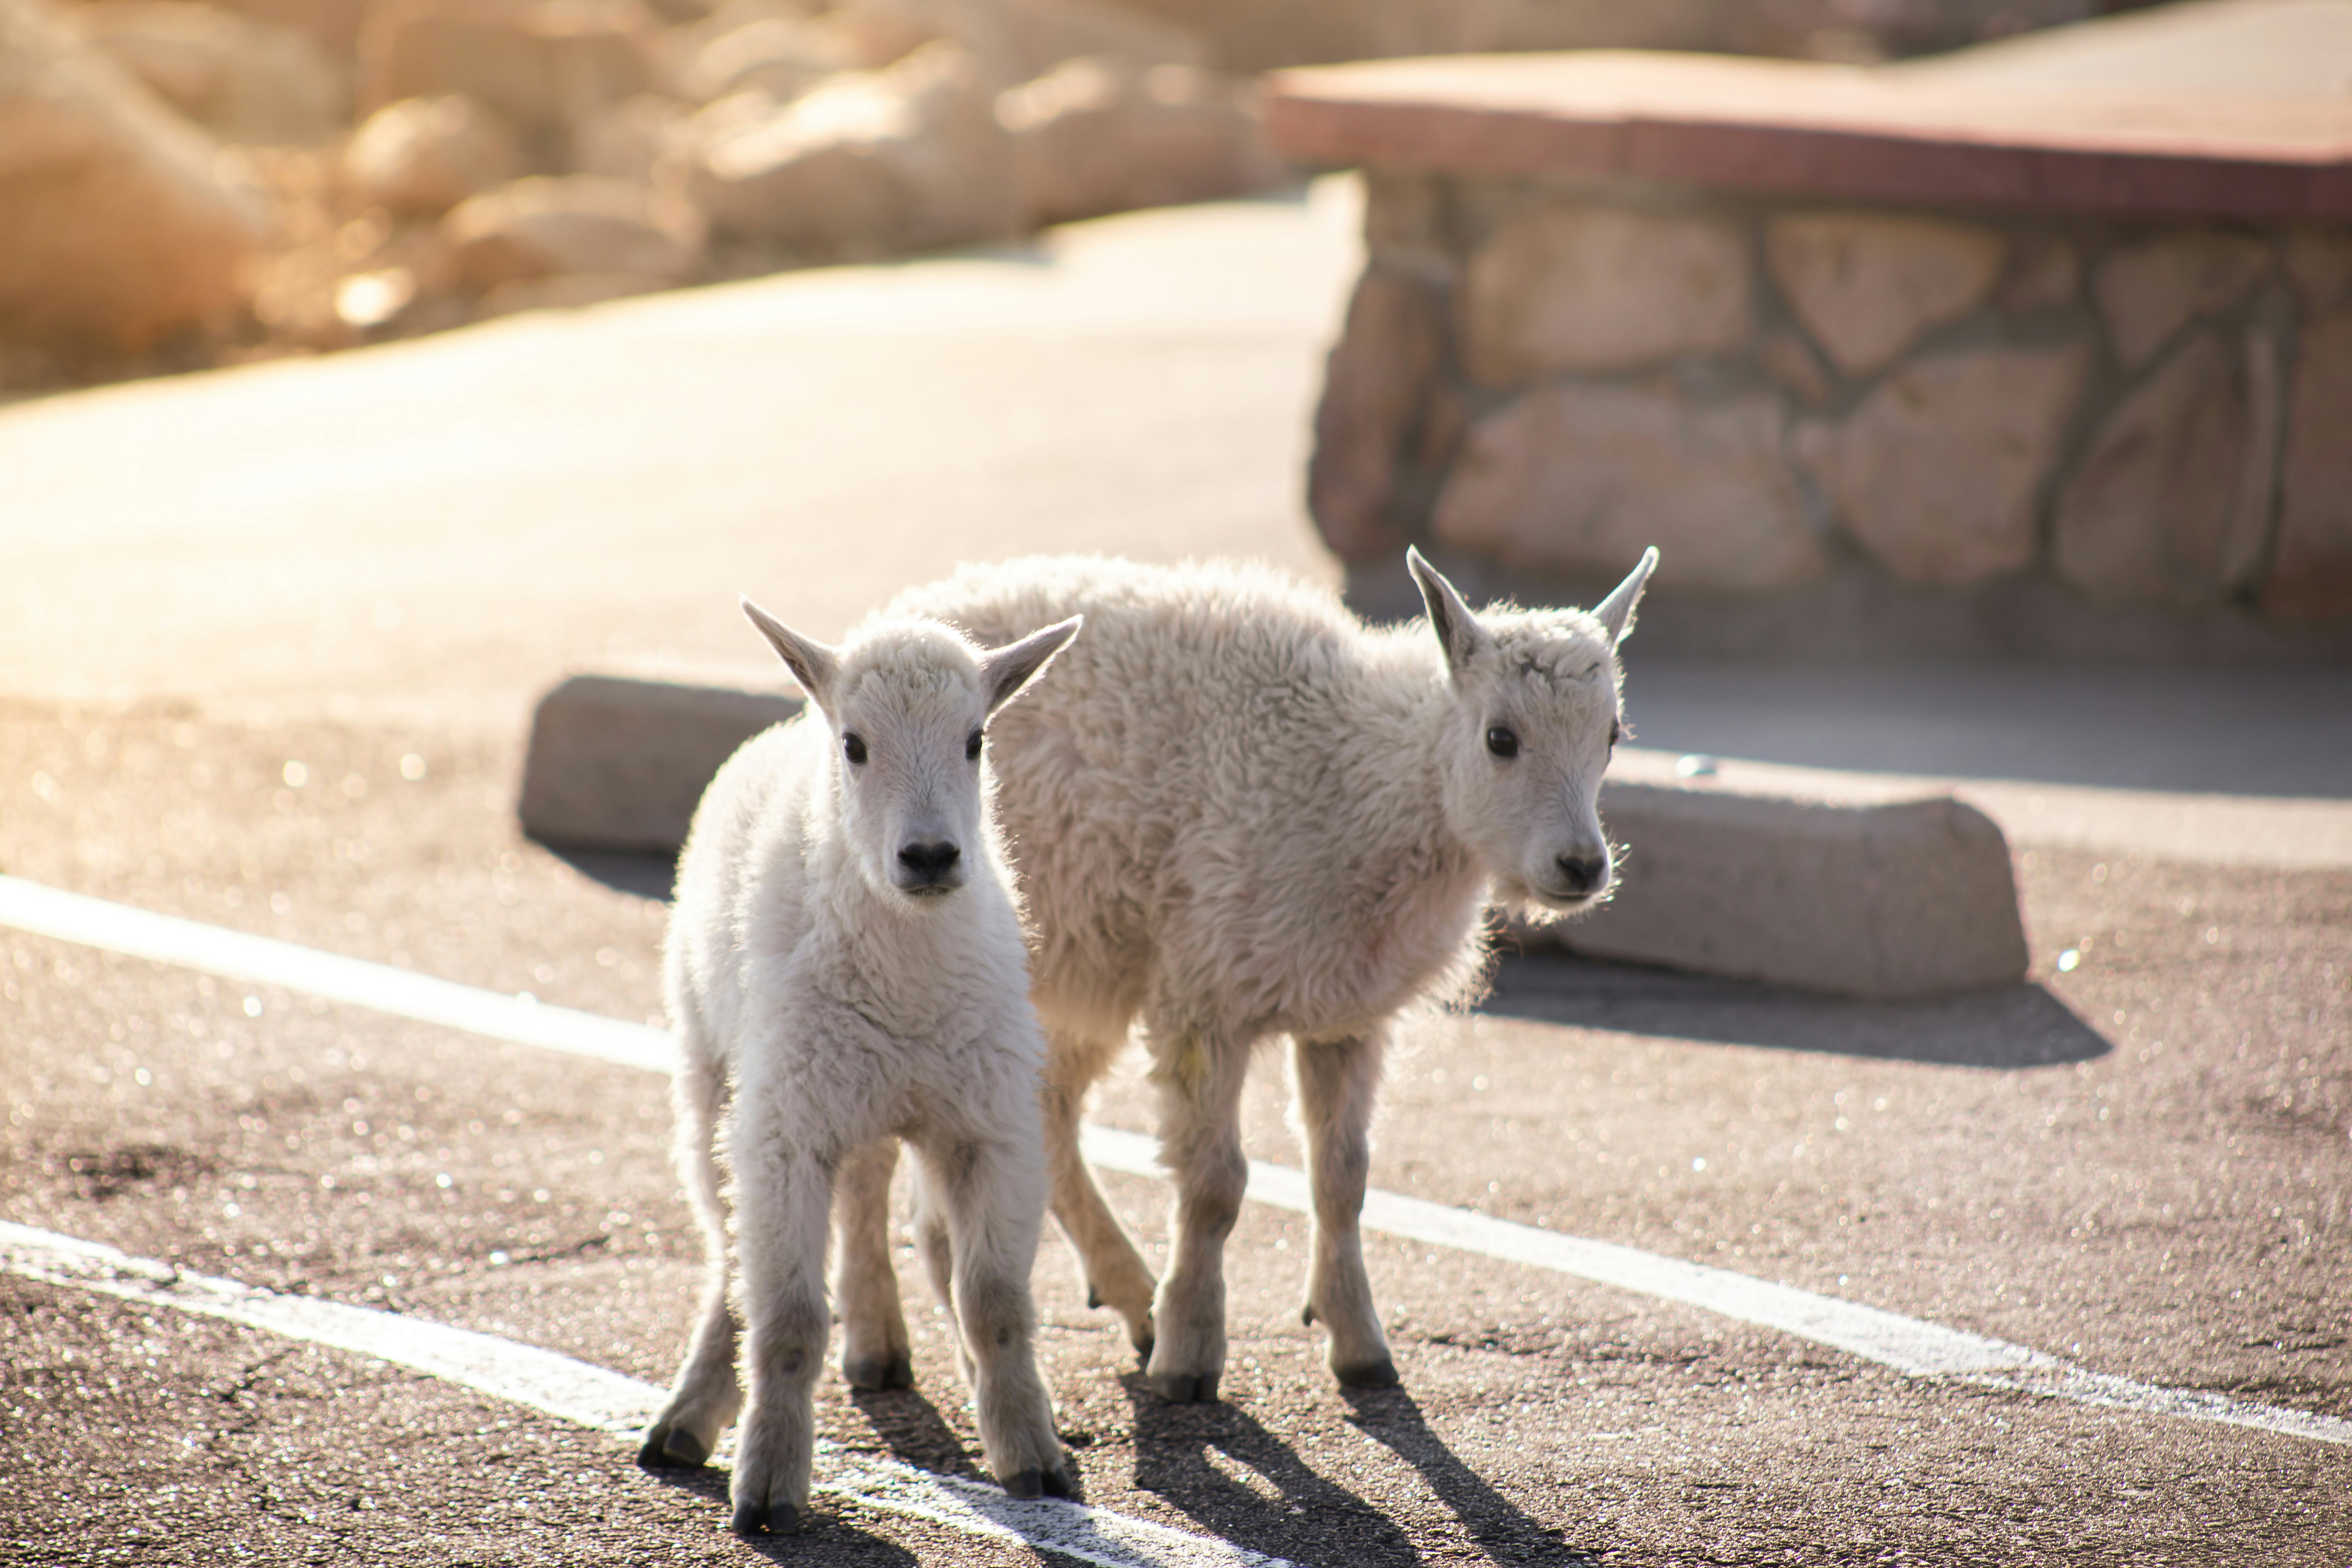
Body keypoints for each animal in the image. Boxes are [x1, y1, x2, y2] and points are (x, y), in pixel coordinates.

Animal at [636, 597, 1085, 1533]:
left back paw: (882, 1349)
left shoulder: (991, 1126)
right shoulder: (784, 1134)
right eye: (855, 743)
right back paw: (689, 1415)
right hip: (713, 1081)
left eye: (976, 739)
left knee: (870, 1190)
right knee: (730, 1258)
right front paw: (768, 1486)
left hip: (870, 1097)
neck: (905, 976)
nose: (931, 857)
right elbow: (787, 1319)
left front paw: (1035, 1456)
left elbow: (994, 1303)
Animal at [833, 544, 1657, 1405]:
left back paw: (1118, 1292)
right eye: (1501, 737)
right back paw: (878, 1341)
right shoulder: (1207, 993)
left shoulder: (1345, 1013)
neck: (1363, 780)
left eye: (1611, 734)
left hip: (1076, 968)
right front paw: (1189, 1356)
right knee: (871, 1156)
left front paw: (1359, 1345)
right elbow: (1215, 1186)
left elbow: (1342, 1179)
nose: (1582, 866)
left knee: (1048, 1115)